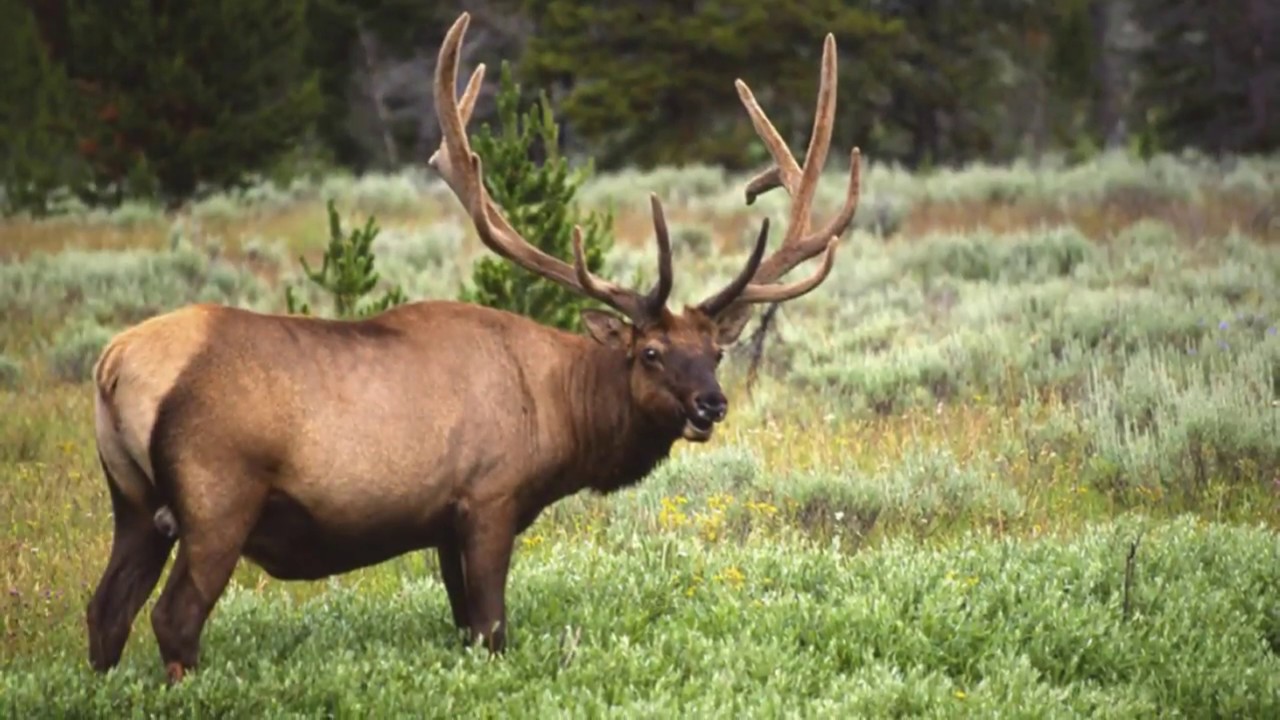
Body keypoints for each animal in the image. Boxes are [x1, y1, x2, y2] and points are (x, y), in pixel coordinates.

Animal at [84, 11, 862, 684]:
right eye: (650, 353)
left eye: (716, 352)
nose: (710, 405)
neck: (557, 416)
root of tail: (113, 364)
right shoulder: (487, 498)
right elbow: (491, 630)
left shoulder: (439, 526)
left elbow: (463, 625)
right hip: (217, 497)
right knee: (174, 619)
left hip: (133, 503)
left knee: (105, 612)